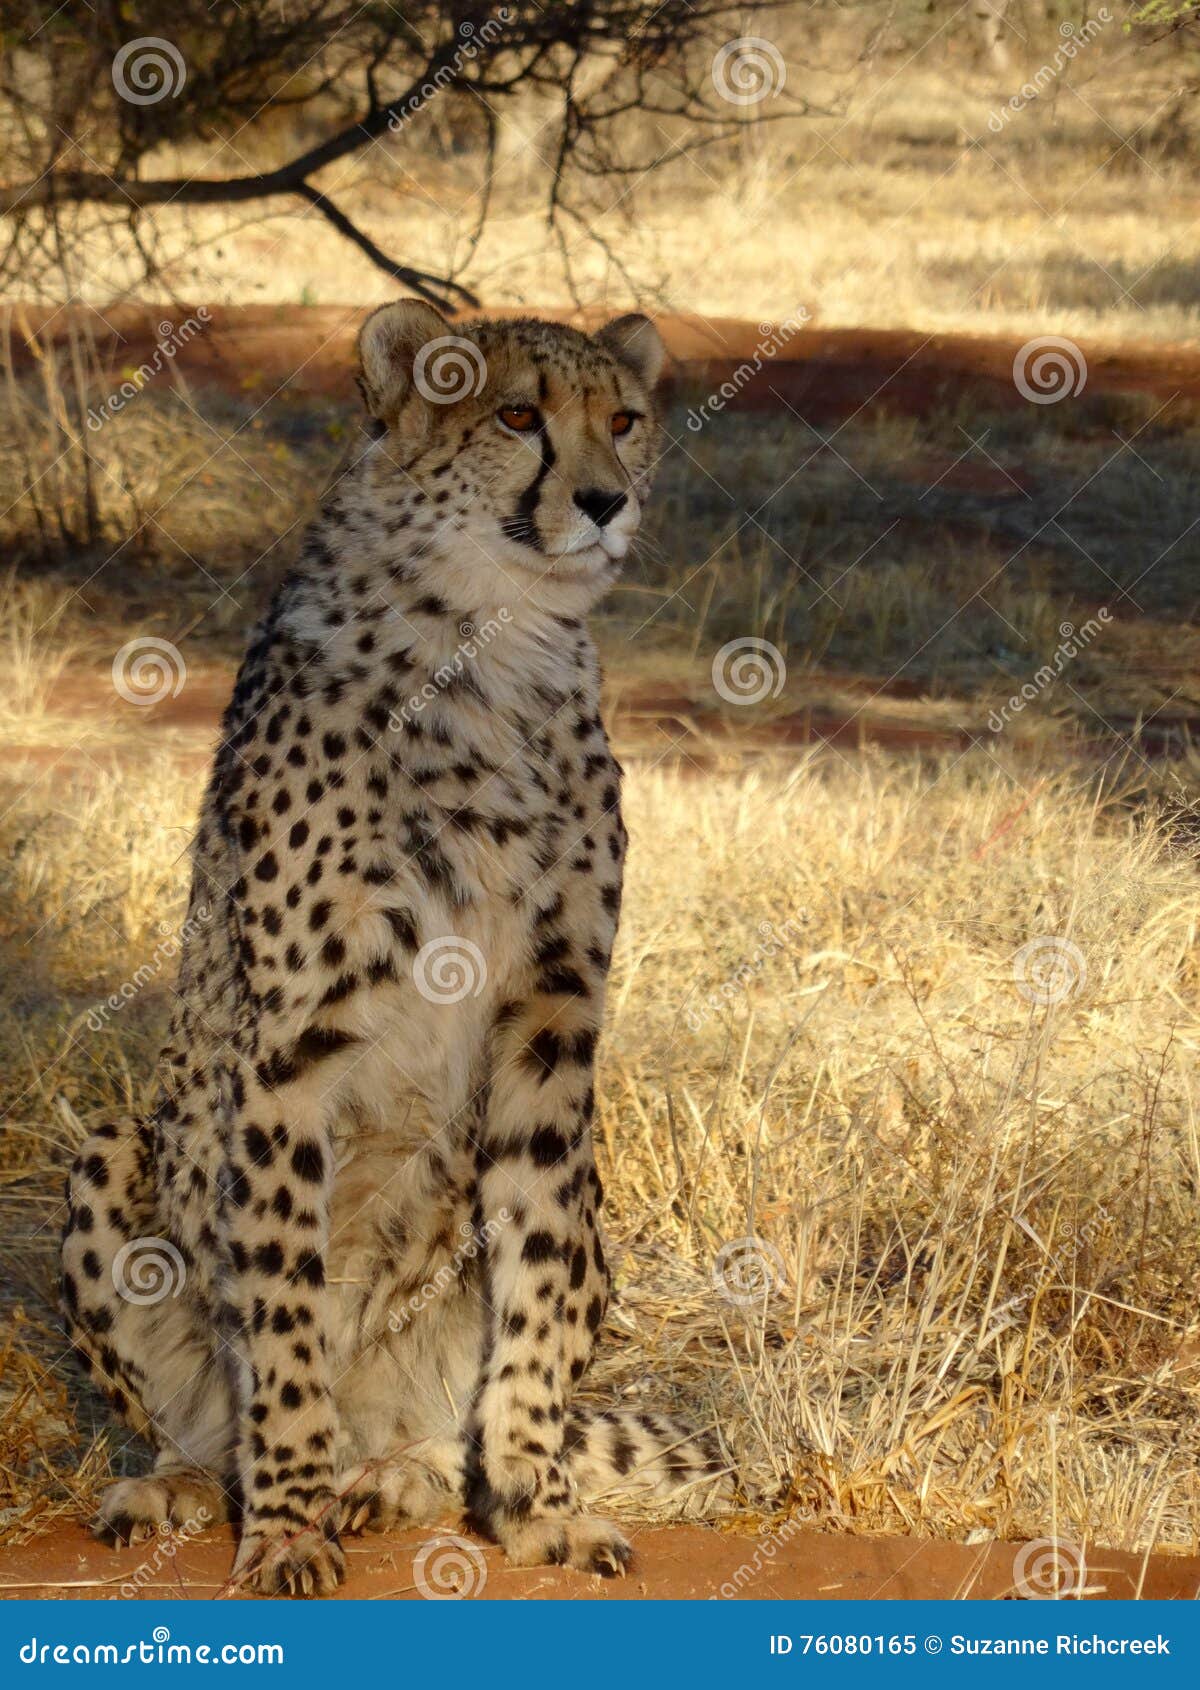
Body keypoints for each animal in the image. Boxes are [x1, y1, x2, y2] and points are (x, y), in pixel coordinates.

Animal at [60, 301, 726, 1598]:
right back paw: (190, 1481)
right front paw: (283, 1527)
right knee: (202, 1410)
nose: (607, 500)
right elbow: (281, 1310)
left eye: (624, 419)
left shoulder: (553, 1014)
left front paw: (535, 1504)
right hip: (115, 1149)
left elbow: (532, 1284)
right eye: (516, 413)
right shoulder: (291, 1042)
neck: (495, 641)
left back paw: (396, 1474)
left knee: (438, 1401)